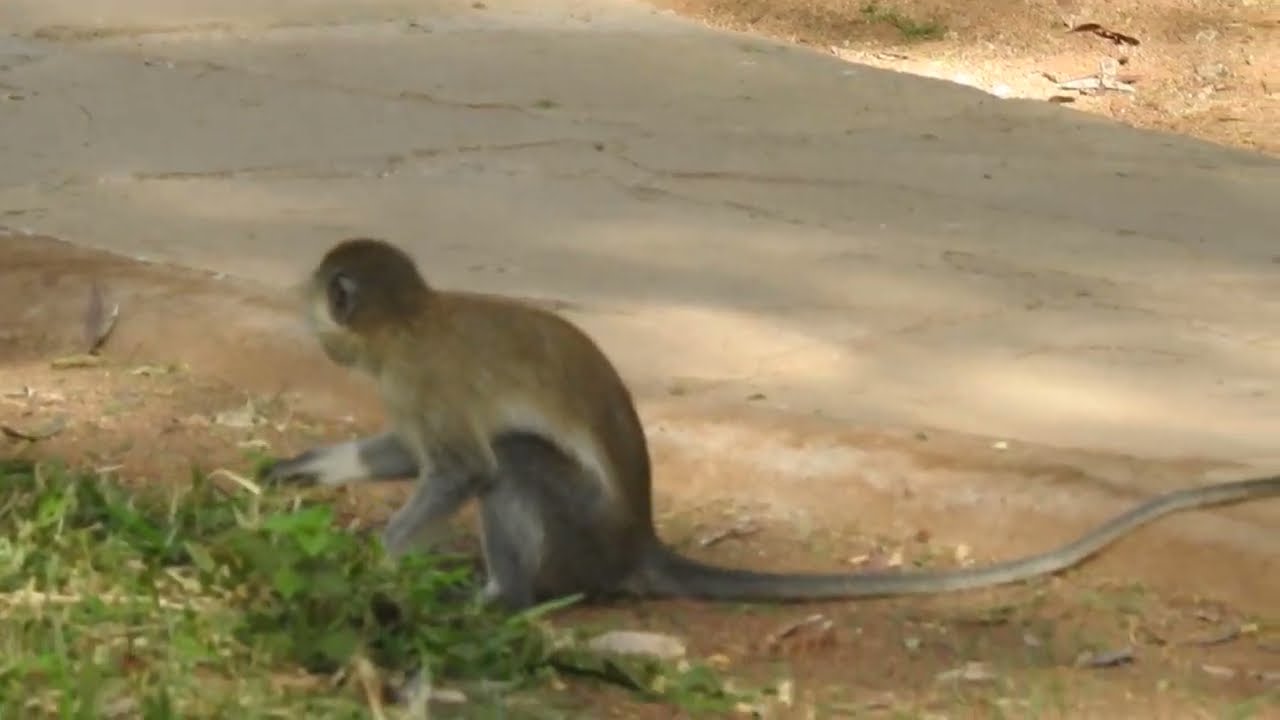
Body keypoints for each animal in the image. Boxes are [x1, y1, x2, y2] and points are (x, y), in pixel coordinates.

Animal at [268, 237, 1280, 611]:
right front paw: (300, 474)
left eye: (322, 297)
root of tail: (640, 545)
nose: (306, 320)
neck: (410, 325)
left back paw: (506, 600)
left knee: (517, 462)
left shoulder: (425, 377)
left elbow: (465, 471)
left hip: (584, 534)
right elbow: (404, 456)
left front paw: (378, 562)